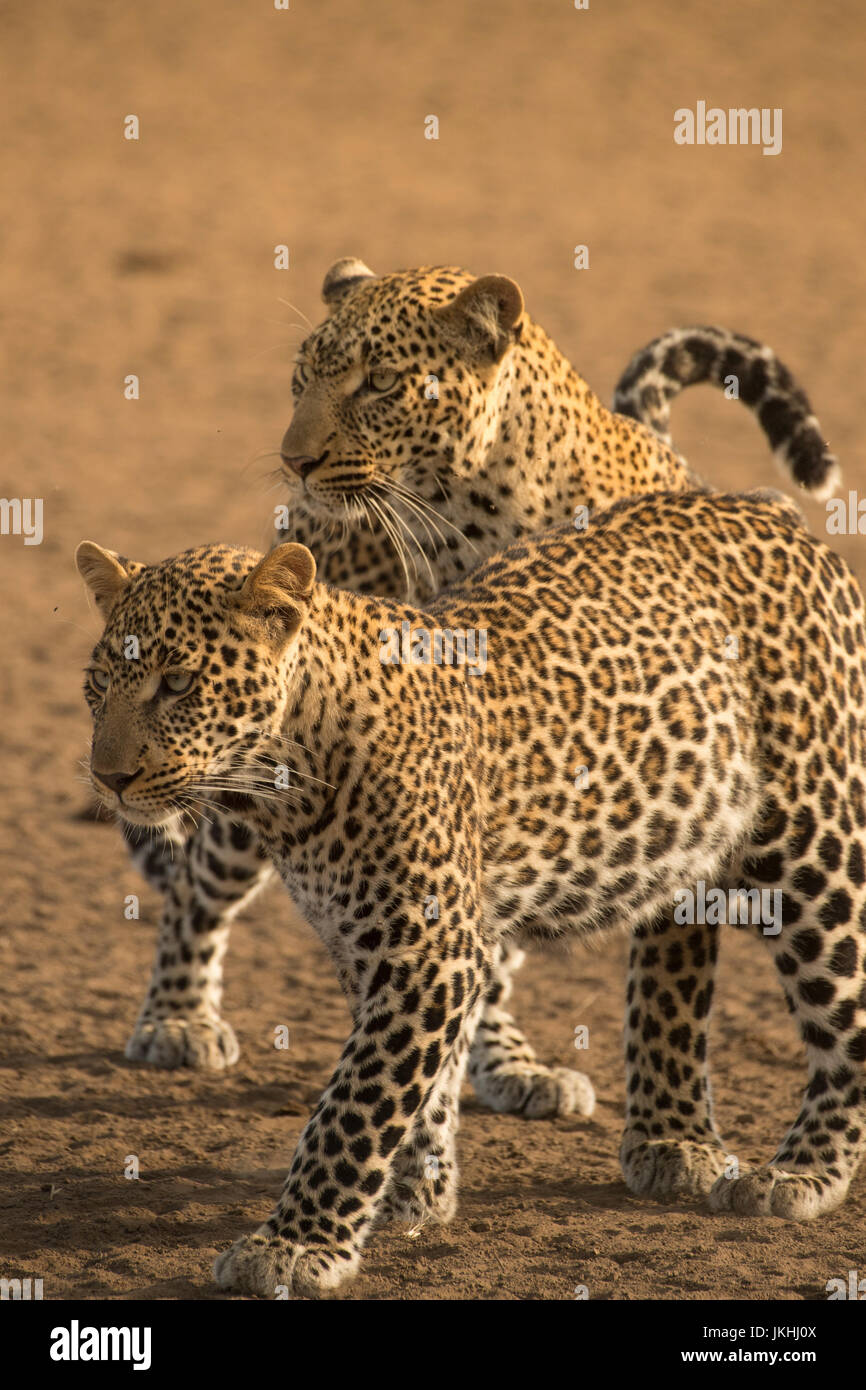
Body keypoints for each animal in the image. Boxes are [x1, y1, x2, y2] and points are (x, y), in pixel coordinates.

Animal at [77, 486, 866, 1298]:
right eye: (99, 686)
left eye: (178, 683)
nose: (109, 778)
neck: (291, 780)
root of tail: (772, 510)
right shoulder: (376, 945)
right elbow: (417, 1084)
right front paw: (415, 1192)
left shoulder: (426, 952)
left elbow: (352, 1105)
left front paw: (296, 1243)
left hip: (810, 843)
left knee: (844, 1015)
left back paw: (801, 1171)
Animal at [114, 257, 841, 1130]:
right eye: (301, 377)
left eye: (380, 381)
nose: (295, 461)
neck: (472, 519)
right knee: (199, 884)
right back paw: (176, 1017)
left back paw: (507, 1067)